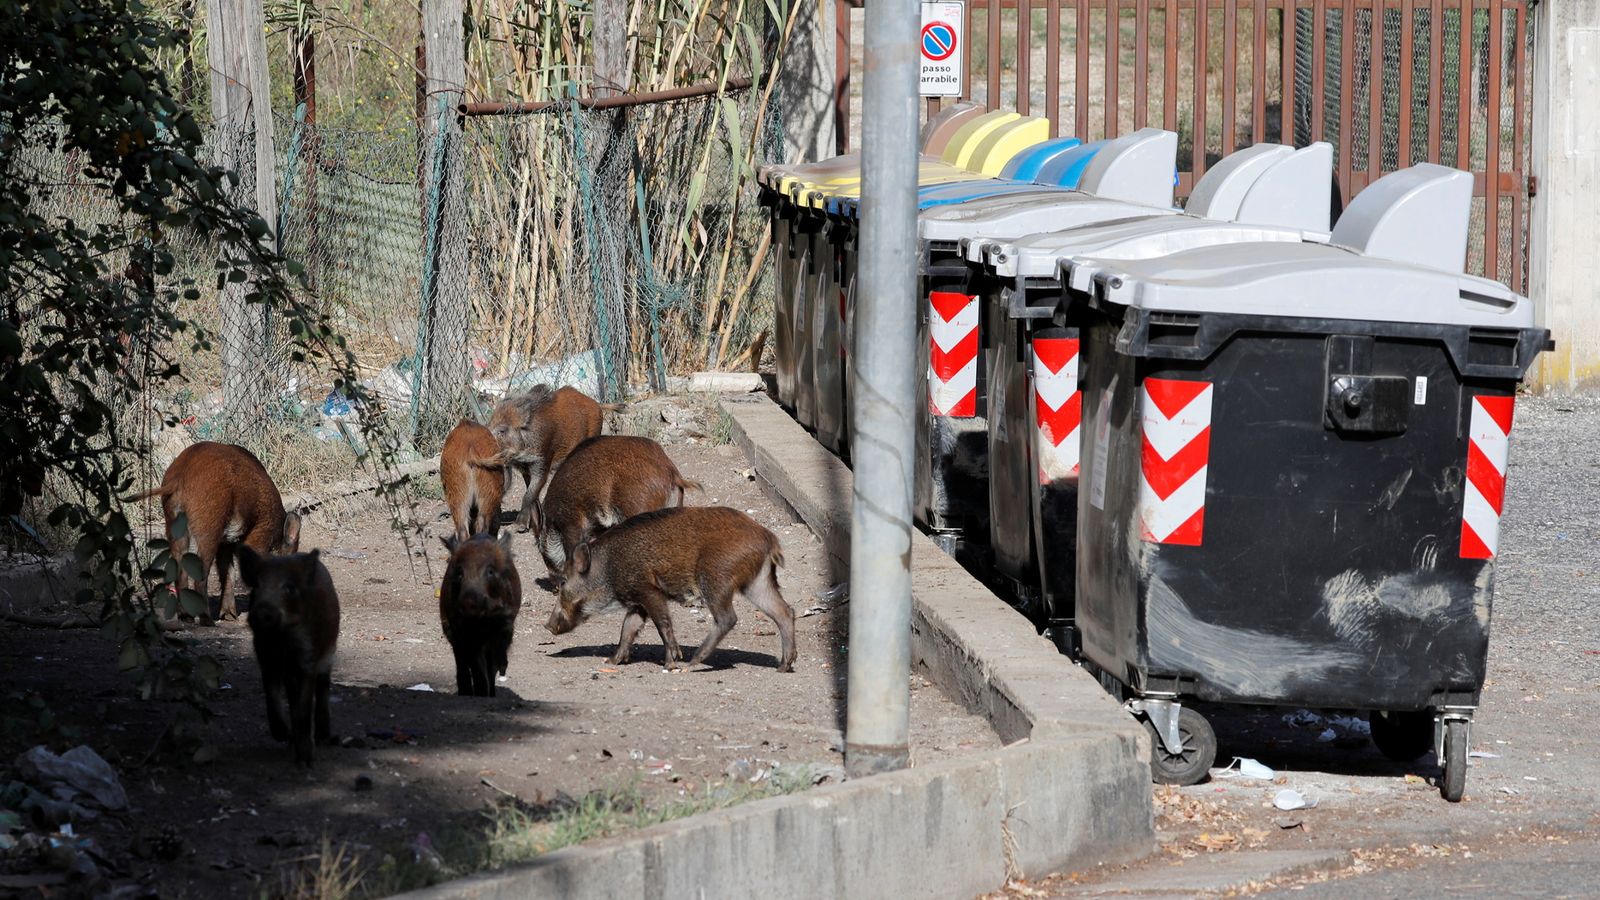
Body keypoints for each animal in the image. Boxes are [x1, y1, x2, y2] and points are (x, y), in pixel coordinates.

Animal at [129, 441, 301, 621]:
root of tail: (179, 477)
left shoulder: (226, 543)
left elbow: (228, 573)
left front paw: (229, 616)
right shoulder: (258, 535)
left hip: (174, 523)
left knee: (181, 568)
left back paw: (187, 617)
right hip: (209, 525)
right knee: (200, 574)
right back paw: (208, 620)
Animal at [237, 547, 340, 767]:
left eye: (289, 588)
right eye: (256, 586)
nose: (262, 613)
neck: (281, 639)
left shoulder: (307, 660)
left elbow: (304, 708)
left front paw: (306, 761)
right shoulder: (267, 660)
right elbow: (273, 697)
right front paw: (283, 735)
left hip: (328, 652)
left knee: (323, 686)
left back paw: (323, 737)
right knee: (292, 698)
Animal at [439, 531, 523, 697]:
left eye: (490, 571)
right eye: (459, 573)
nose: (468, 603)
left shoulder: (502, 630)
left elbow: (492, 666)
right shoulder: (462, 632)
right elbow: (477, 668)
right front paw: (480, 693)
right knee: (463, 666)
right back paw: (467, 692)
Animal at [487, 386, 613, 534]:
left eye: (502, 431)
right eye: (488, 426)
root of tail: (597, 404)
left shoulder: (543, 461)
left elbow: (529, 494)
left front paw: (518, 527)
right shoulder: (525, 469)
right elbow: (531, 493)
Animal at [546, 506, 796, 673]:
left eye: (564, 582)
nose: (547, 626)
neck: (608, 567)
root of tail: (768, 538)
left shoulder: (649, 590)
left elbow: (662, 623)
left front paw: (671, 663)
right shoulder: (637, 602)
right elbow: (628, 628)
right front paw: (611, 661)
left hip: (716, 579)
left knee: (728, 618)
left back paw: (693, 663)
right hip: (757, 582)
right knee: (784, 612)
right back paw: (784, 665)